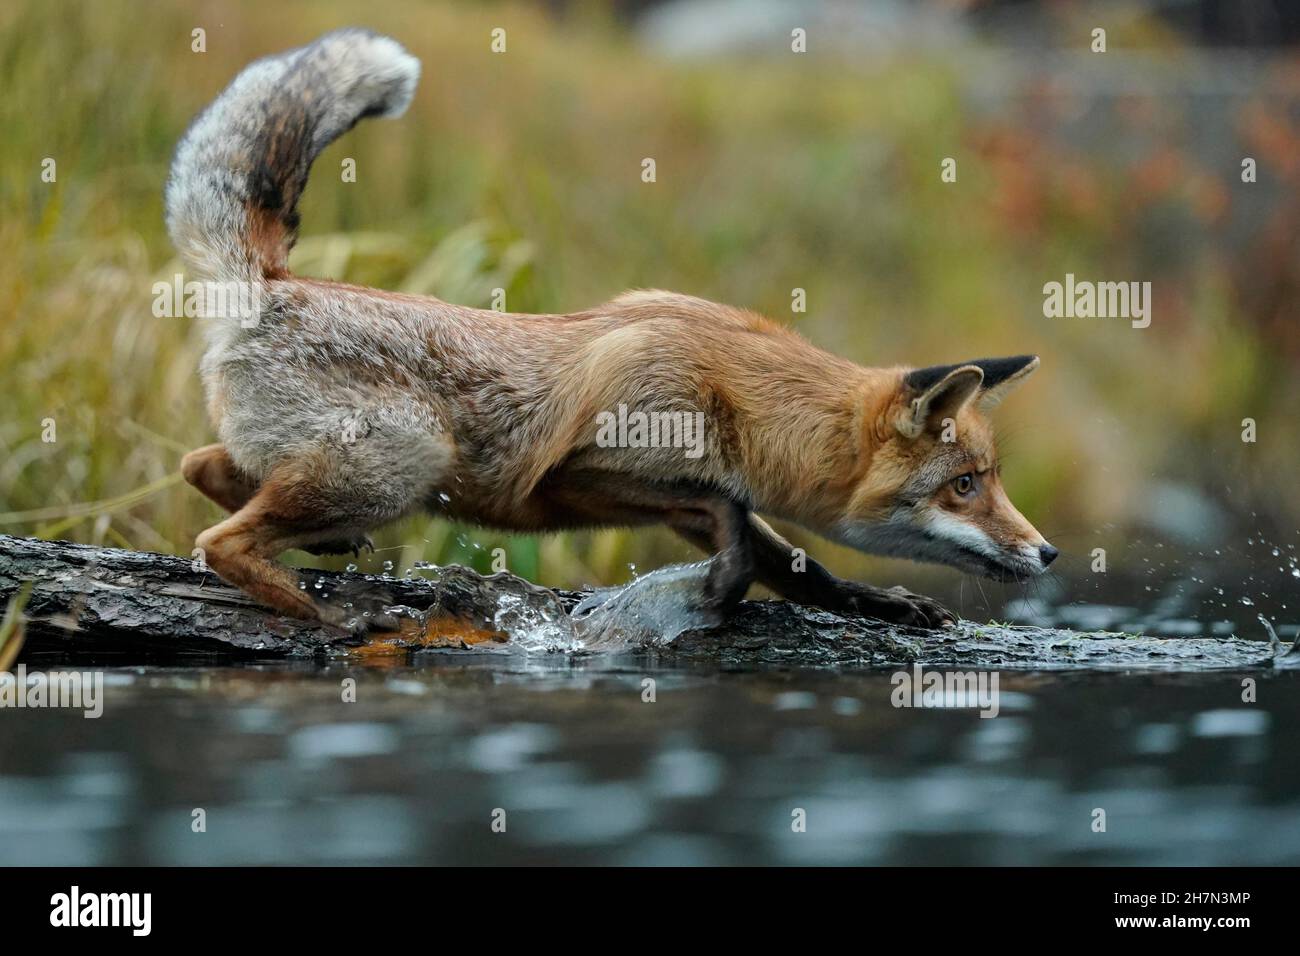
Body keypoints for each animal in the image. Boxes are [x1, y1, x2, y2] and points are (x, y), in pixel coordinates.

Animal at [166, 29, 1056, 634]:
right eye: (966, 484)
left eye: (988, 478)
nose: (1048, 553)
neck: (739, 401)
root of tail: (273, 284)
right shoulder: (580, 474)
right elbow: (735, 518)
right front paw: (723, 590)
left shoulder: (682, 501)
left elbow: (793, 561)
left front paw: (878, 604)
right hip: (411, 455)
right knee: (220, 540)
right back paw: (326, 616)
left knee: (200, 466)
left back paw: (324, 551)